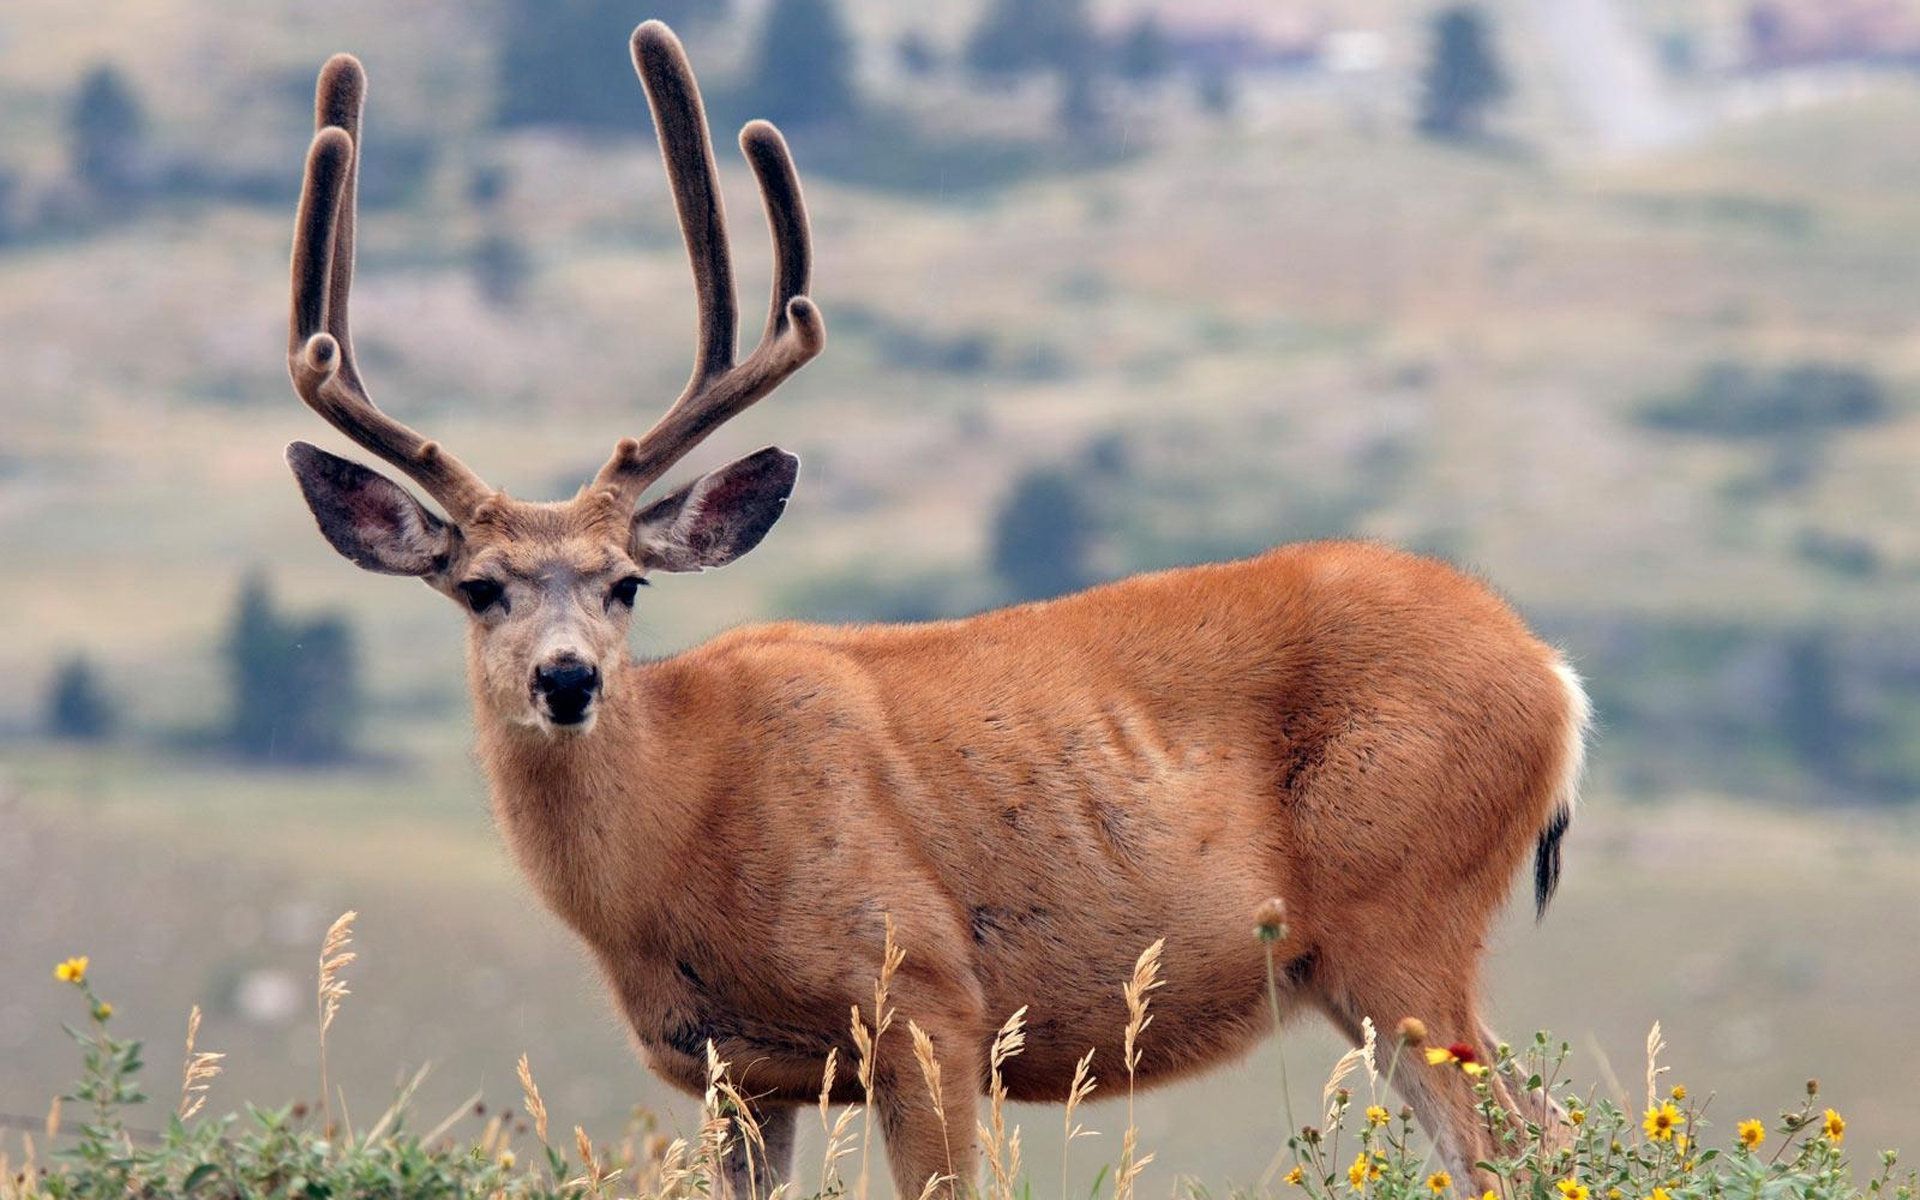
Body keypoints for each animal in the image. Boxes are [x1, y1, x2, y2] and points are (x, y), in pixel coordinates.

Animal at [282, 21, 1590, 1200]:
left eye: (626, 582)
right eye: (478, 587)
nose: (567, 678)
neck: (684, 826)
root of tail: (1552, 676)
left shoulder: (923, 996)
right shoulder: (733, 1073)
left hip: (1403, 909)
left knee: (1525, 1144)